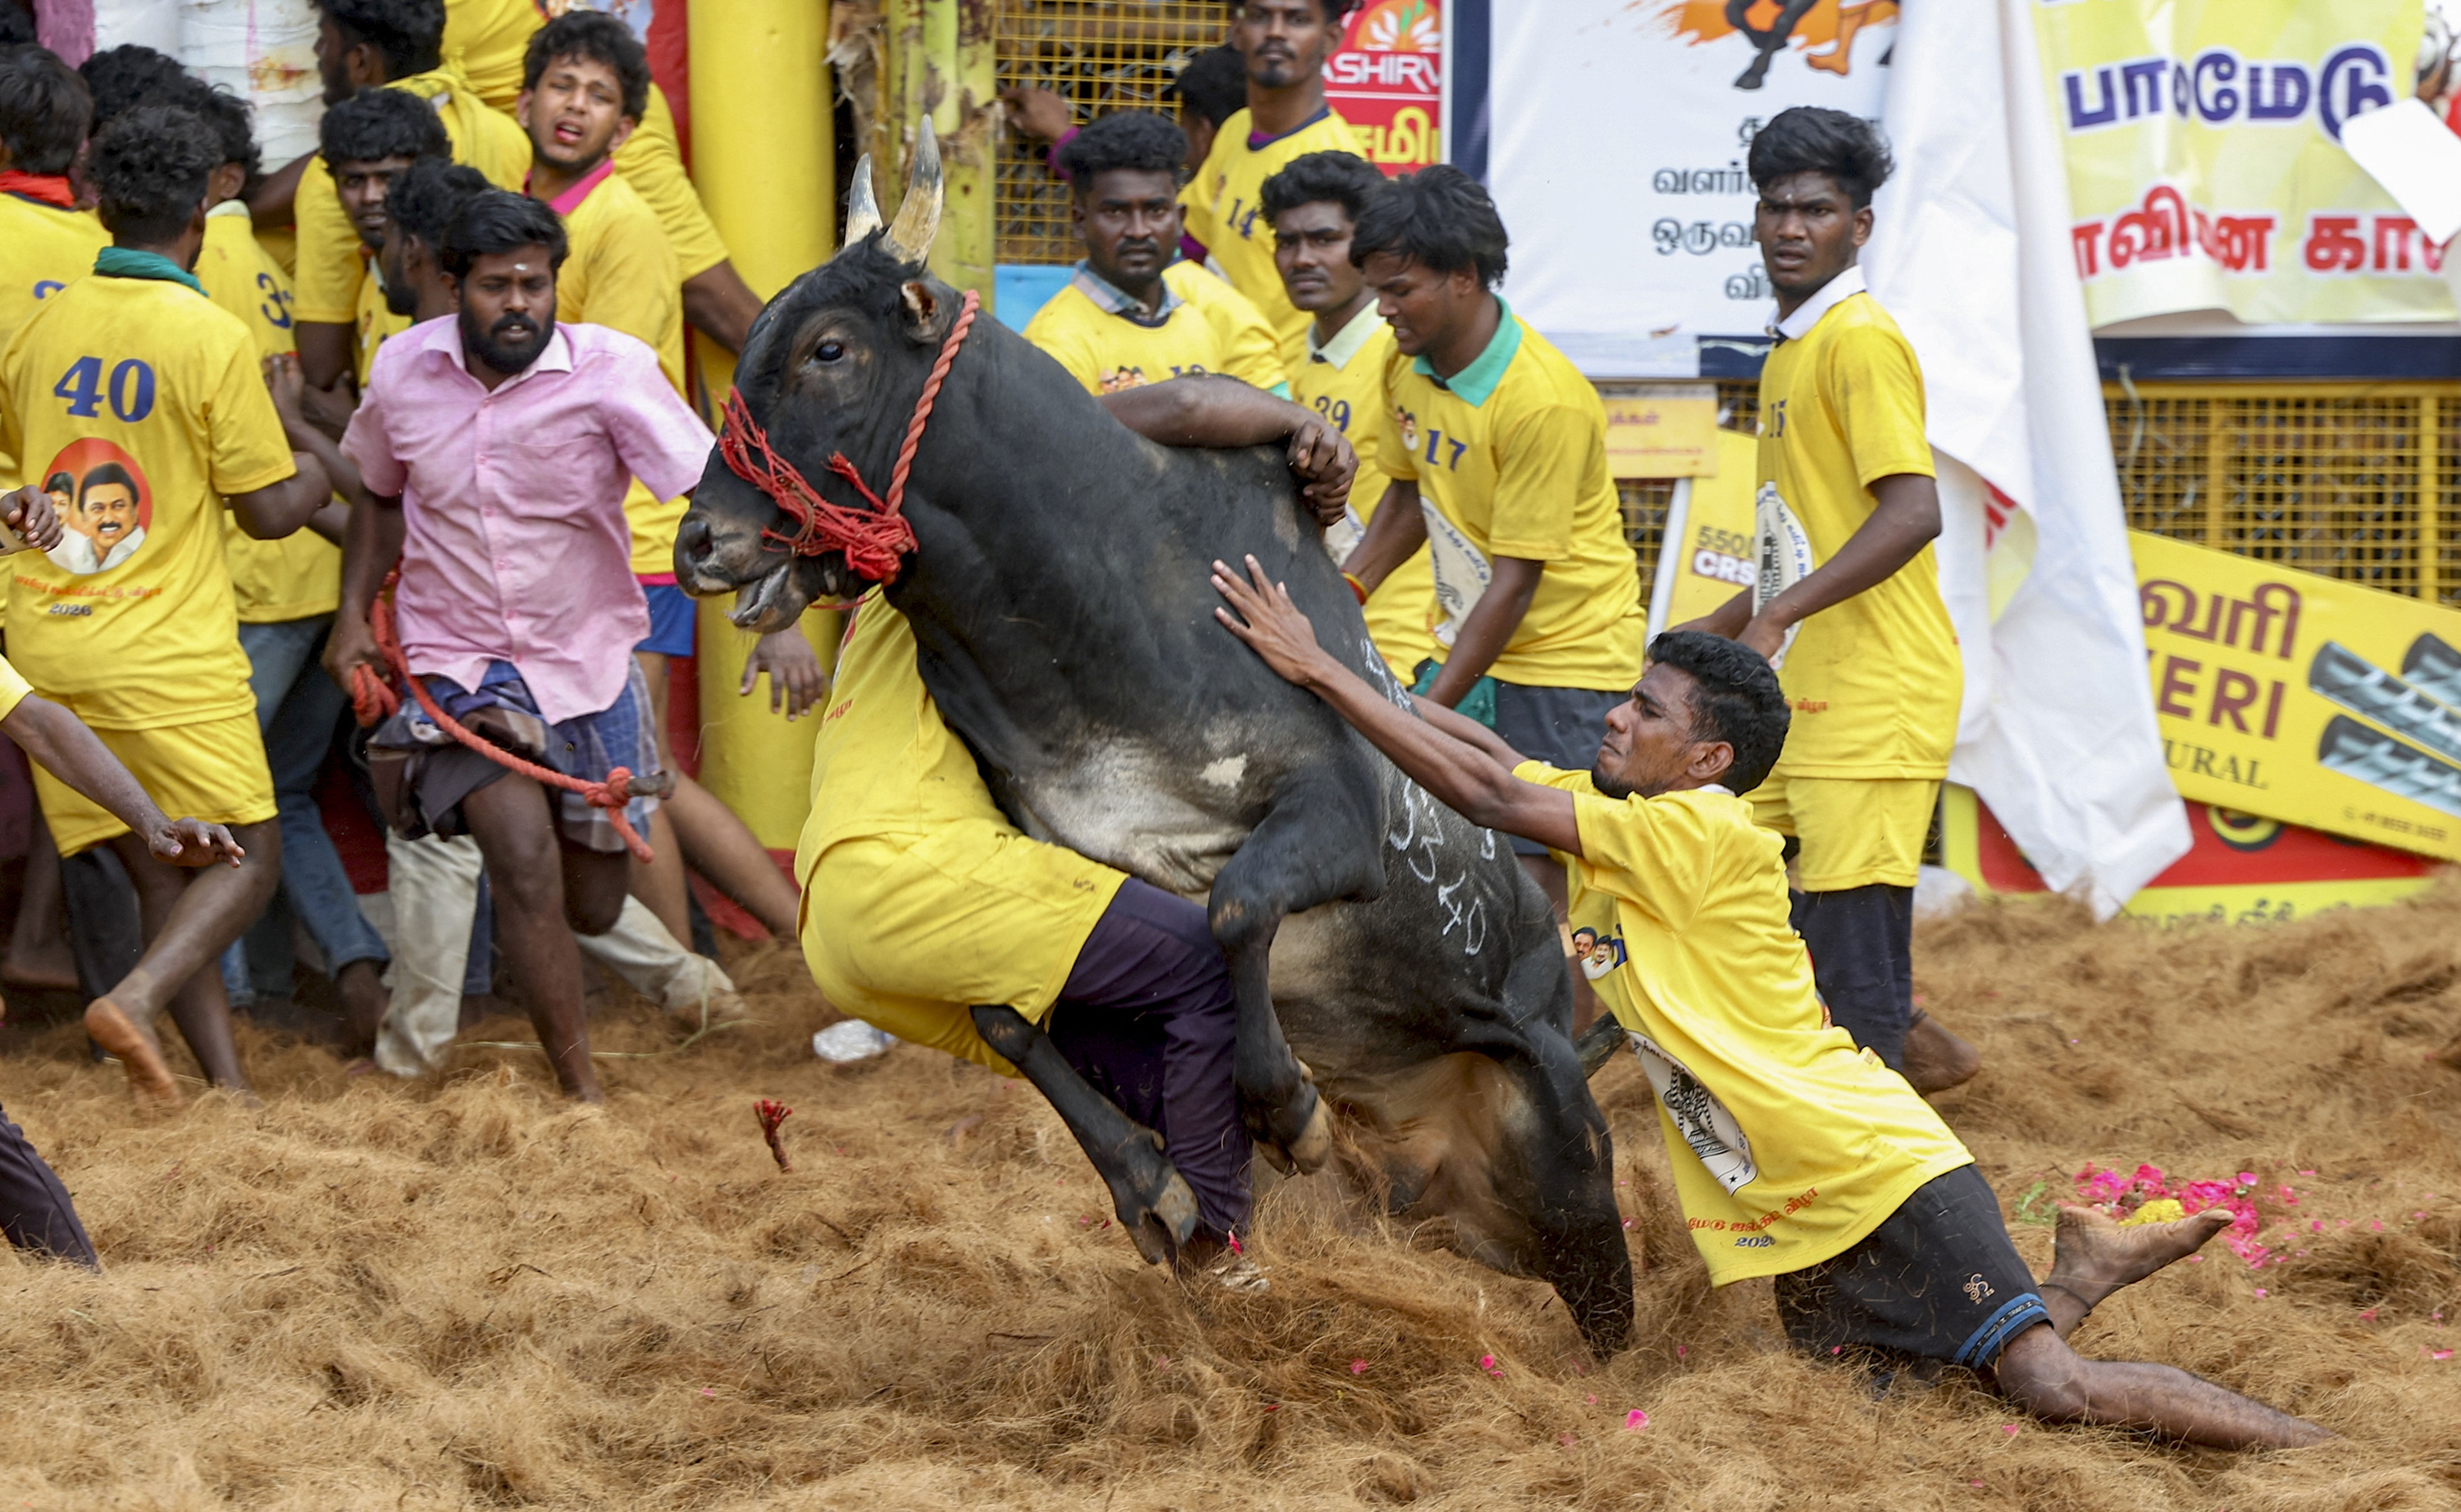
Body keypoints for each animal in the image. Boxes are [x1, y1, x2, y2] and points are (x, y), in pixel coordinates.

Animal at [674, 125, 1634, 1354]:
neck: (1097, 602)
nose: (701, 538)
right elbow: (1007, 1013)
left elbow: (1236, 907)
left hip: (1568, 1161)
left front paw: (1287, 1108)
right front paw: (1152, 1186)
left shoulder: (1334, 818)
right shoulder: (1065, 864)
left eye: (828, 347)